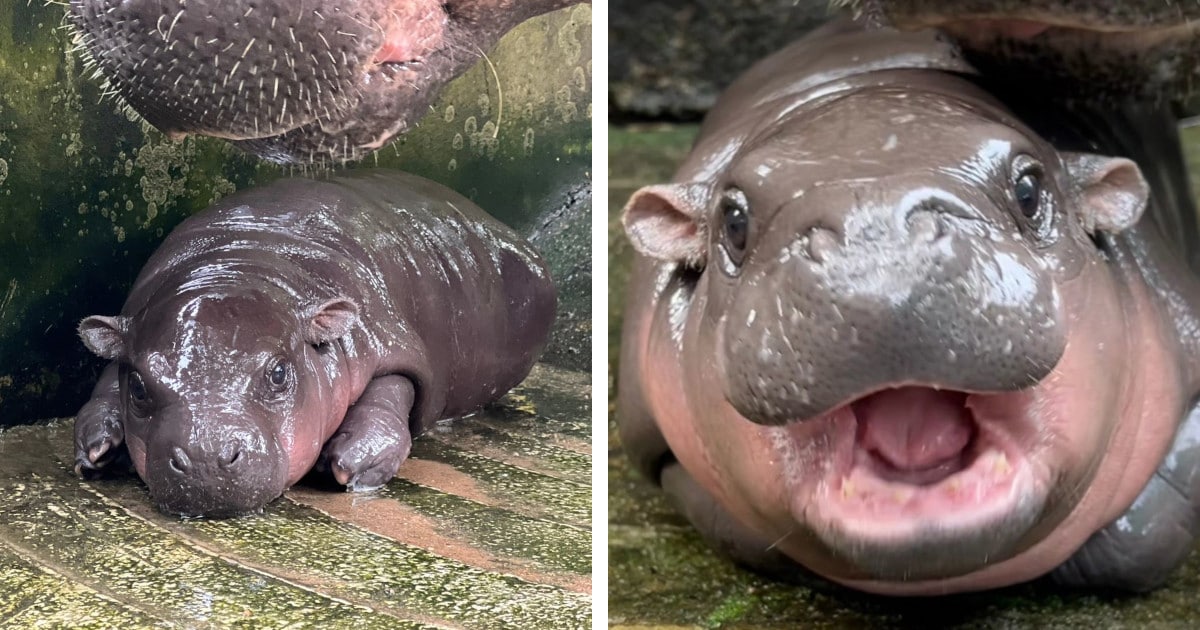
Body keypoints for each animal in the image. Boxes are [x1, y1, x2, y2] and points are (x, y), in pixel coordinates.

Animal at [73, 170, 556, 517]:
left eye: (278, 373)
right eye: (139, 386)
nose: (205, 457)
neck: (238, 263)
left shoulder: (382, 335)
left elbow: (391, 393)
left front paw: (348, 463)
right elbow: (104, 384)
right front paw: (98, 446)